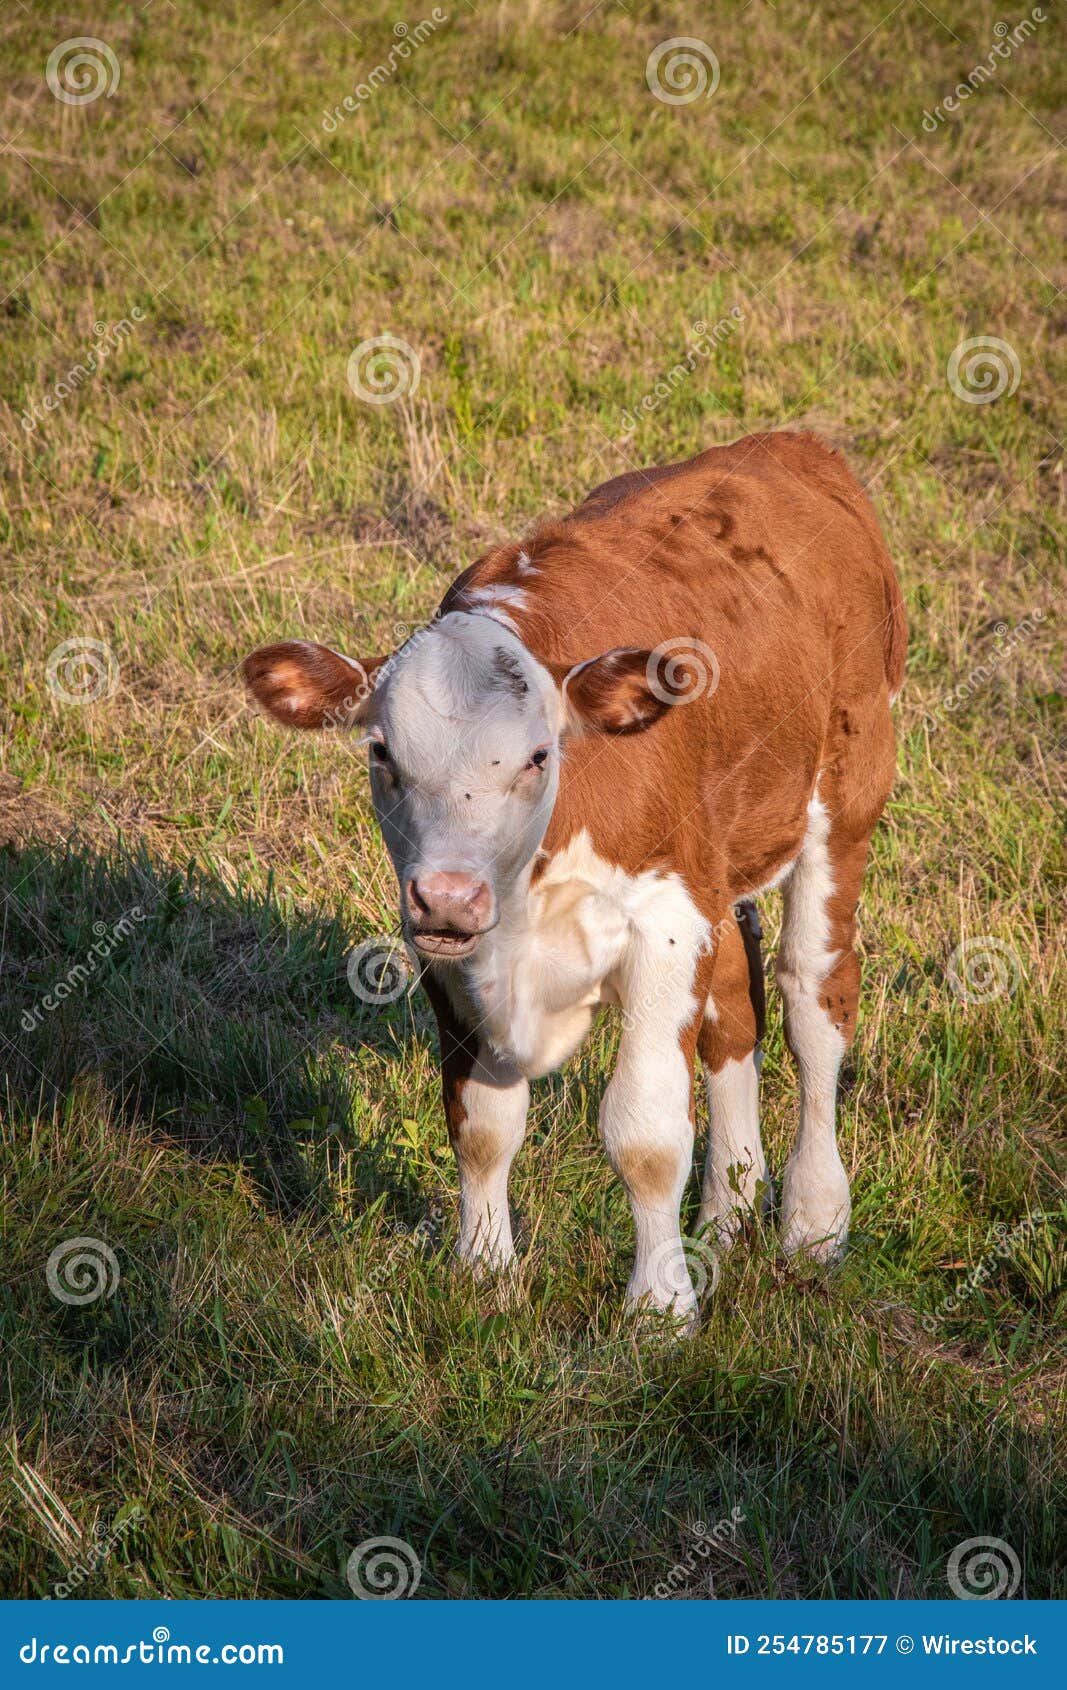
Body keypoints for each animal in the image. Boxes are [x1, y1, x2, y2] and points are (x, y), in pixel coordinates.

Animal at [243, 431, 907, 1328]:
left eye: (537, 755)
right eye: (381, 753)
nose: (449, 896)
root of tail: (792, 444)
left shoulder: (664, 922)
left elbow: (647, 1133)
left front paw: (659, 1308)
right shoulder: (451, 954)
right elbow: (482, 1123)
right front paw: (485, 1274)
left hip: (845, 796)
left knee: (813, 997)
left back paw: (812, 1221)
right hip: (716, 862)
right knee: (733, 1008)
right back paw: (727, 1217)